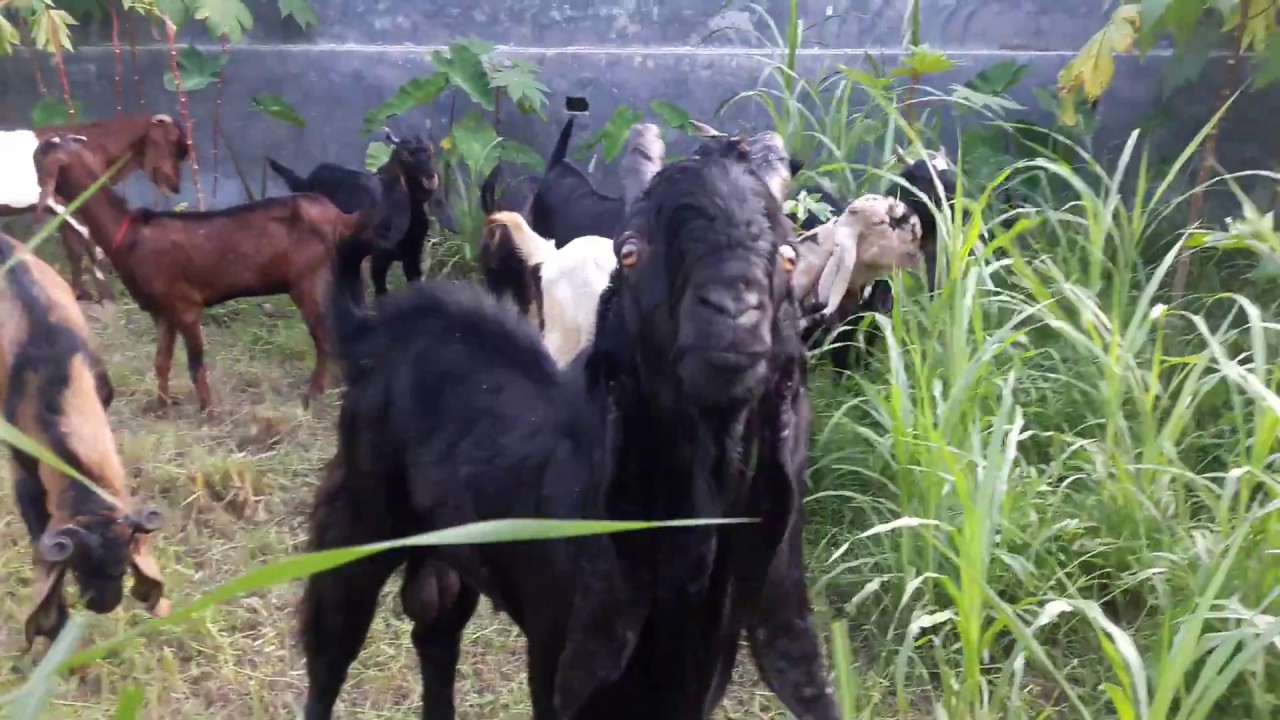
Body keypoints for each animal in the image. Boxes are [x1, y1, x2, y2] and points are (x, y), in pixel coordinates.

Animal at [1, 113, 189, 303]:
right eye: (170, 141)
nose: (175, 186)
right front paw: (106, 297)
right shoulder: (68, 204)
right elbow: (91, 244)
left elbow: (74, 250)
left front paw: (79, 294)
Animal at [34, 134, 365, 412]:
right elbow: (161, 361)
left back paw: (313, 395)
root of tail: (339, 216)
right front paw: (161, 406)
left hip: (309, 281)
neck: (130, 234)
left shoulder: (186, 306)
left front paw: (207, 411)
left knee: (325, 338)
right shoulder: (161, 311)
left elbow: (195, 364)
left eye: (37, 159)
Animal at [267, 128, 440, 296]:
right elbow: (381, 292)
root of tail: (307, 180)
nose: (430, 177)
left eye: (430, 151)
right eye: (406, 155)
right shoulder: (379, 256)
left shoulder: (413, 253)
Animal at [299, 128, 837, 720]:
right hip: (359, 514)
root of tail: (373, 328)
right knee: (332, 644)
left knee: (436, 627)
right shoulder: (561, 660)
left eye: (788, 257)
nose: (733, 309)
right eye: (630, 251)